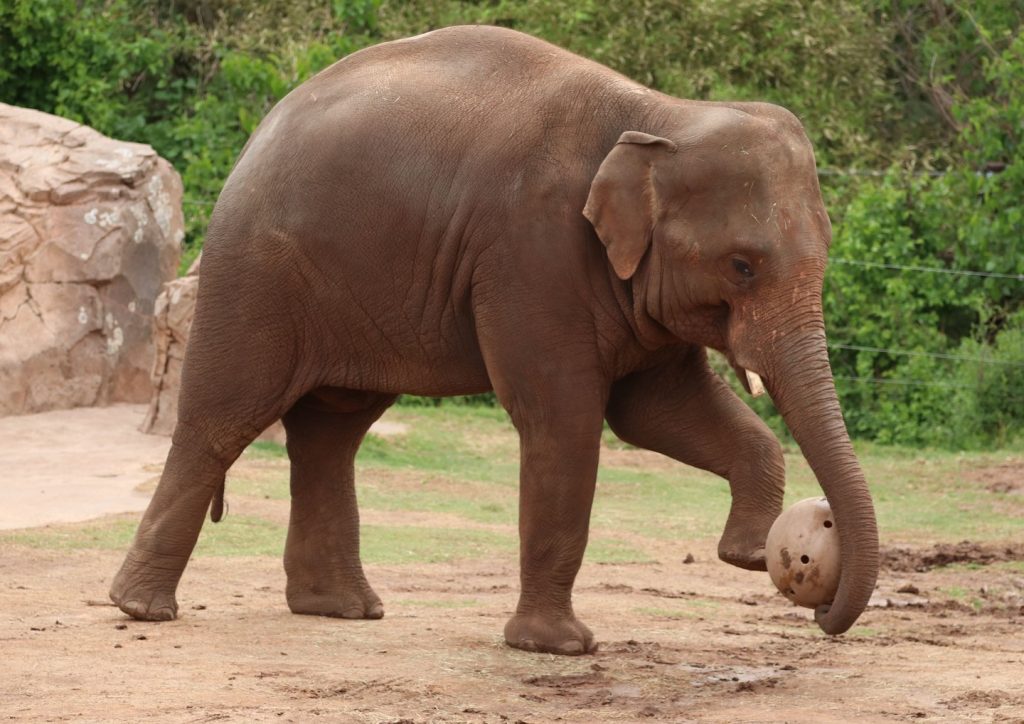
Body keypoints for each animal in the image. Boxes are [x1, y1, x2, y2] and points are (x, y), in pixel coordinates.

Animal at [110, 25, 879, 655]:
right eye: (742, 265)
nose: (815, 605)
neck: (661, 116)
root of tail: (261, 131)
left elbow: (658, 410)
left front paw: (743, 551)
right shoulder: (532, 252)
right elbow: (565, 419)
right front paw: (559, 648)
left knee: (333, 432)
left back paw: (343, 610)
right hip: (256, 273)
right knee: (225, 418)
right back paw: (143, 609)